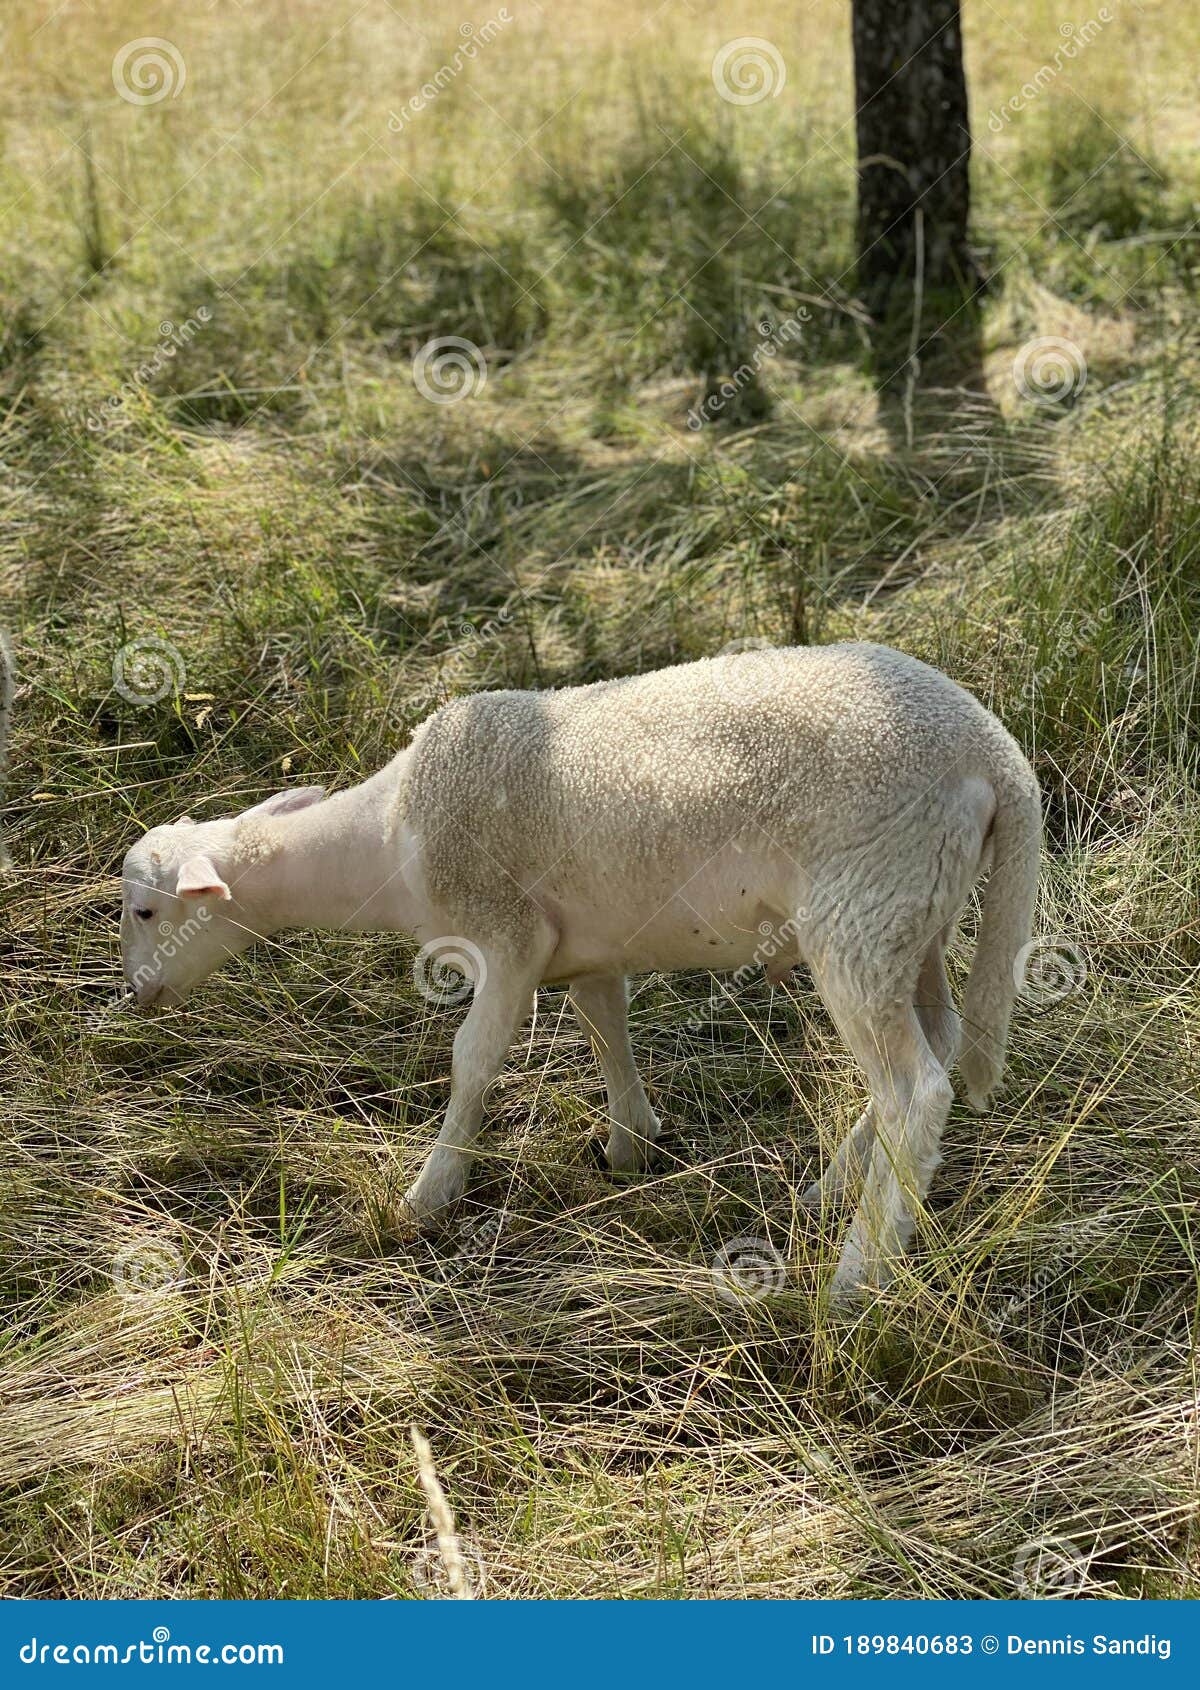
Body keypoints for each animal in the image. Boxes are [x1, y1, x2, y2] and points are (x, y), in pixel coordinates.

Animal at [120, 642, 1041, 1302]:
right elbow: (607, 1035)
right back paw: (827, 1192)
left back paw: (859, 1274)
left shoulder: (506, 936)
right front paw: (632, 1144)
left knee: (916, 1091)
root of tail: (997, 755)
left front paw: (430, 1193)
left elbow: (473, 1061)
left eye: (144, 911)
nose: (137, 996)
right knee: (937, 1043)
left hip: (865, 901)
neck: (385, 841)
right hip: (912, 911)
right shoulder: (589, 951)